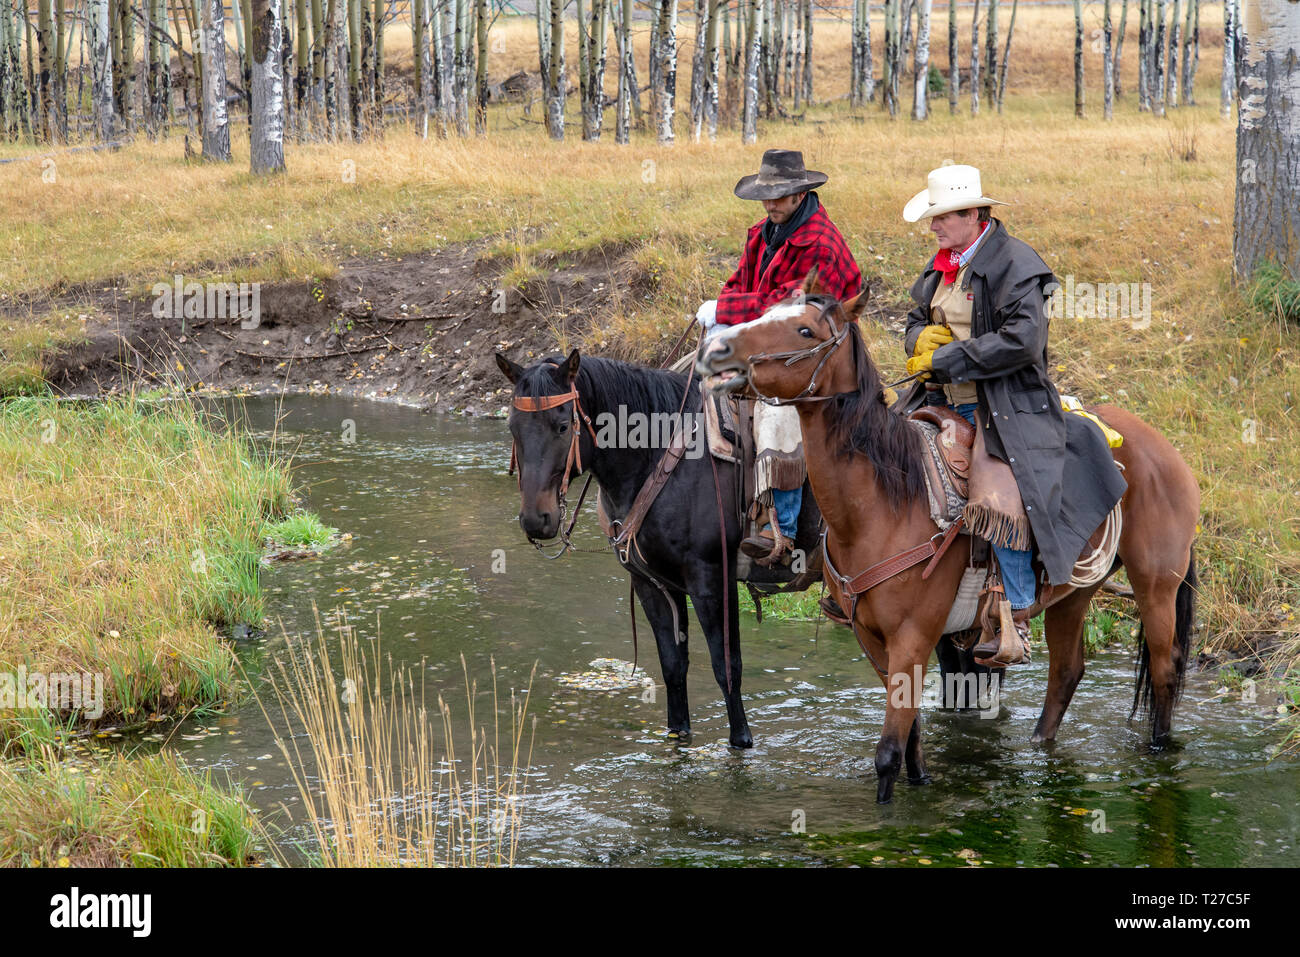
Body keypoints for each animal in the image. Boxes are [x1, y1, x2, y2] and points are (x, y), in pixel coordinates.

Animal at [495, 348, 756, 748]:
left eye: (562, 426)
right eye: (512, 428)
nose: (536, 520)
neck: (660, 458)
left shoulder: (712, 580)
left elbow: (727, 668)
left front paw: (741, 742)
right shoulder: (652, 584)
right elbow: (672, 666)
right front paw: (678, 735)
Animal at [698, 273, 1200, 803]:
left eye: (805, 331)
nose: (718, 350)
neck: (884, 503)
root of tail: (1164, 451)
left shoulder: (912, 637)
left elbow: (888, 753)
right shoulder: (871, 638)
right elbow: (911, 737)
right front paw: (921, 781)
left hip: (1156, 585)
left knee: (1165, 668)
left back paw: (1158, 752)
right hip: (1075, 592)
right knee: (1067, 672)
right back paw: (1040, 748)